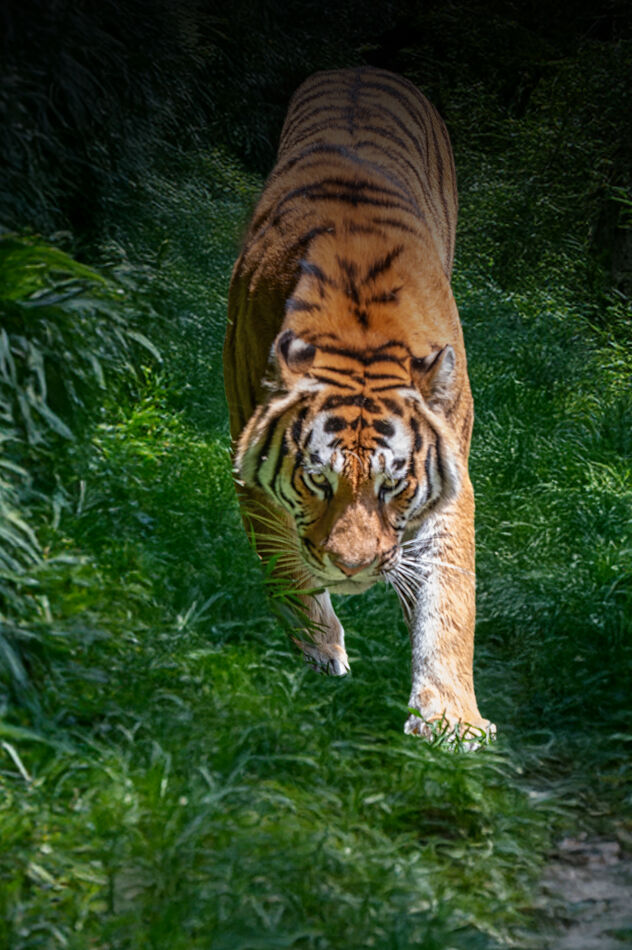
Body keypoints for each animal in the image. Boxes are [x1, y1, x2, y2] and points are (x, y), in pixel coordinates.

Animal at [223, 66, 495, 745]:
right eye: (316, 480)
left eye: (395, 485)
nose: (351, 569)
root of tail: (363, 68)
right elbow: (284, 562)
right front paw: (320, 651)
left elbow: (450, 592)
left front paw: (452, 718)